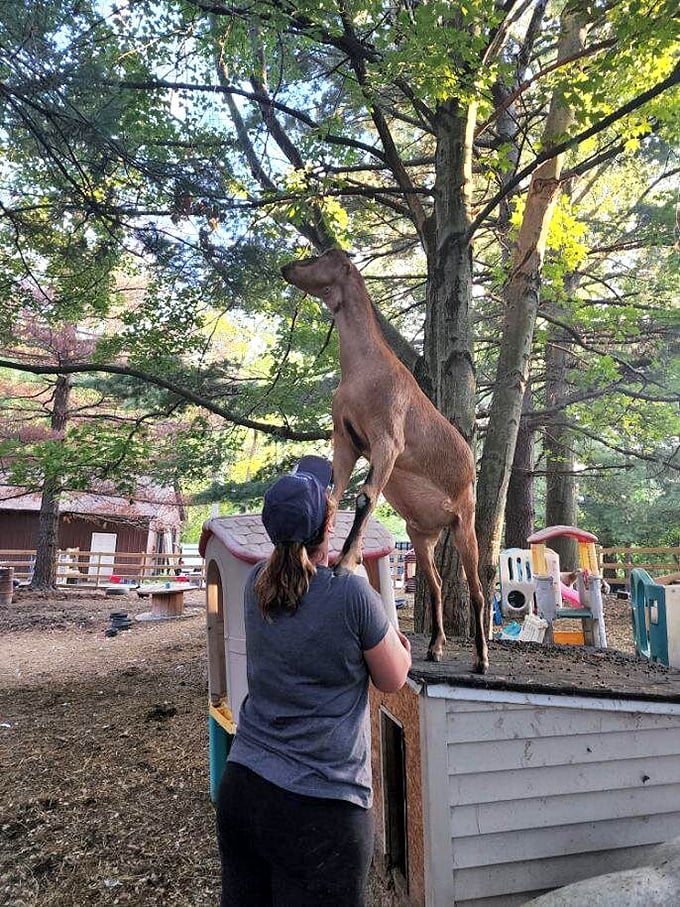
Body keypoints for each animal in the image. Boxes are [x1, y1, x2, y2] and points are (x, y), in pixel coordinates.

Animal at [281, 248, 488, 672]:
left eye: (320, 256)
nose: (287, 267)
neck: (365, 369)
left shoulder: (386, 441)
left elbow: (365, 496)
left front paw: (345, 563)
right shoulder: (345, 441)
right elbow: (331, 497)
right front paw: (320, 557)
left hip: (465, 524)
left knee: (477, 590)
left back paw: (480, 659)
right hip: (420, 536)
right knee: (437, 585)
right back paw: (435, 646)